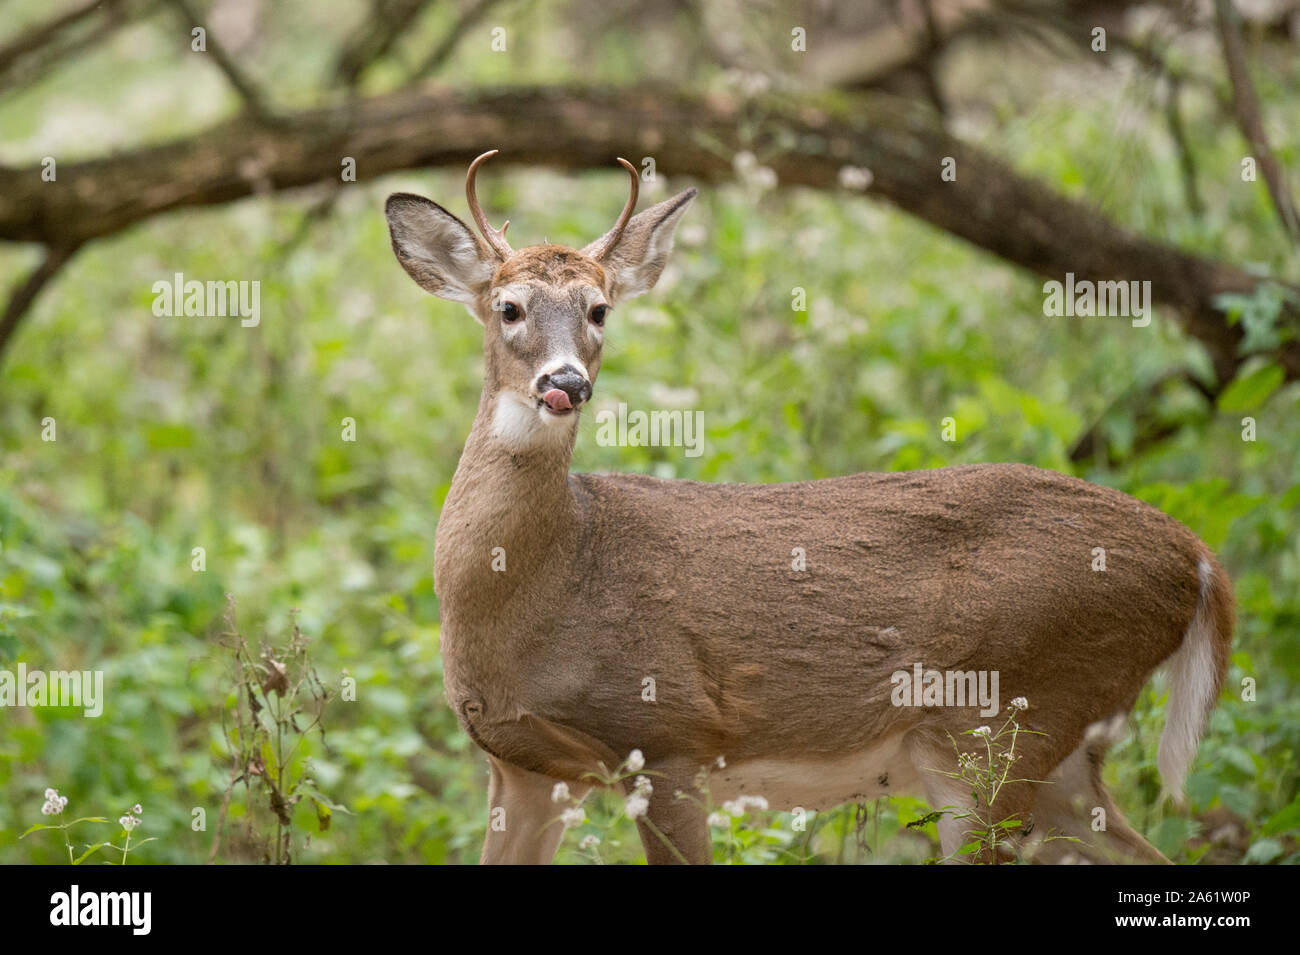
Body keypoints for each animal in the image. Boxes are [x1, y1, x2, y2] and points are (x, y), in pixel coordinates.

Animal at [383, 151, 1234, 865]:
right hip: (1058, 760)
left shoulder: (671, 739)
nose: (566, 383)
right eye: (509, 307)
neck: (546, 579)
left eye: (599, 309)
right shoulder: (521, 767)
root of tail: (1197, 558)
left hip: (1000, 727)